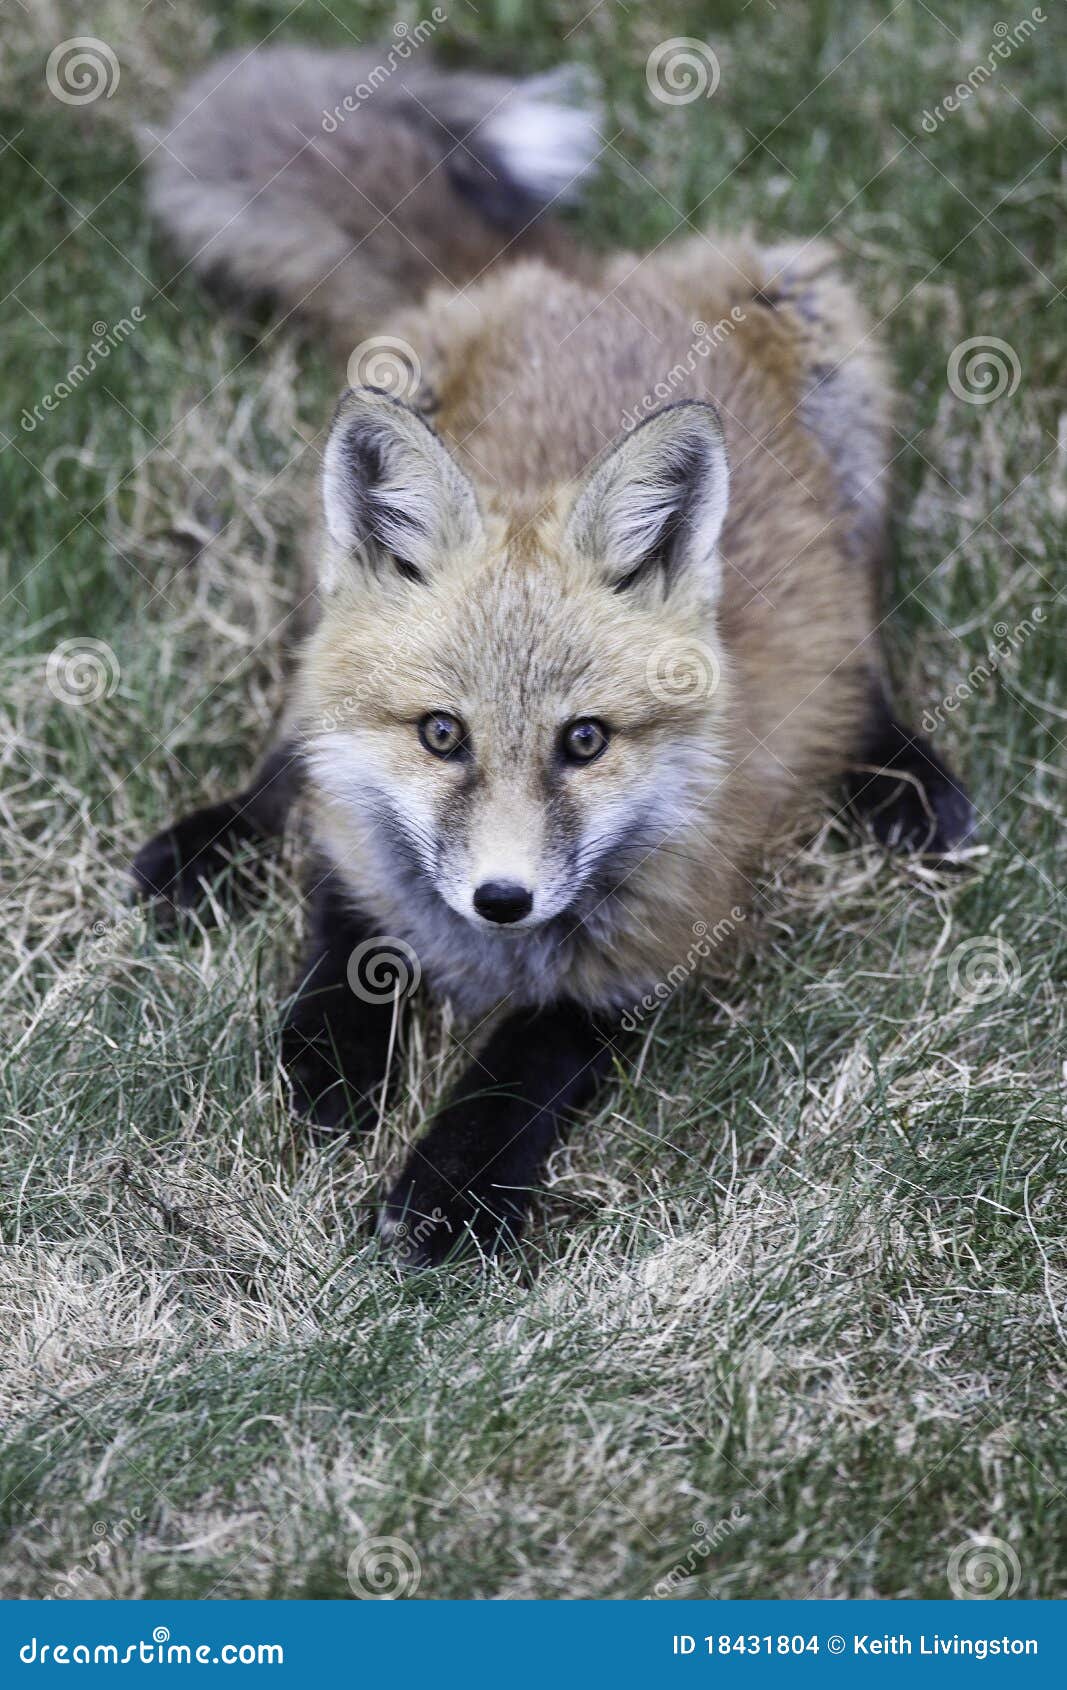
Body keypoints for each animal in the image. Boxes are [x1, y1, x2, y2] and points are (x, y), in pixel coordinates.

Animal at [133, 45, 974, 1266]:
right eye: (441, 734)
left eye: (585, 742)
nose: (501, 898)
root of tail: (578, 276)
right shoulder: (360, 836)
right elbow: (344, 907)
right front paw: (336, 1058)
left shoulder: (670, 930)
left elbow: (528, 1059)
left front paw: (449, 1187)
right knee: (294, 728)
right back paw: (209, 845)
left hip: (833, 371)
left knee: (859, 652)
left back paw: (902, 775)